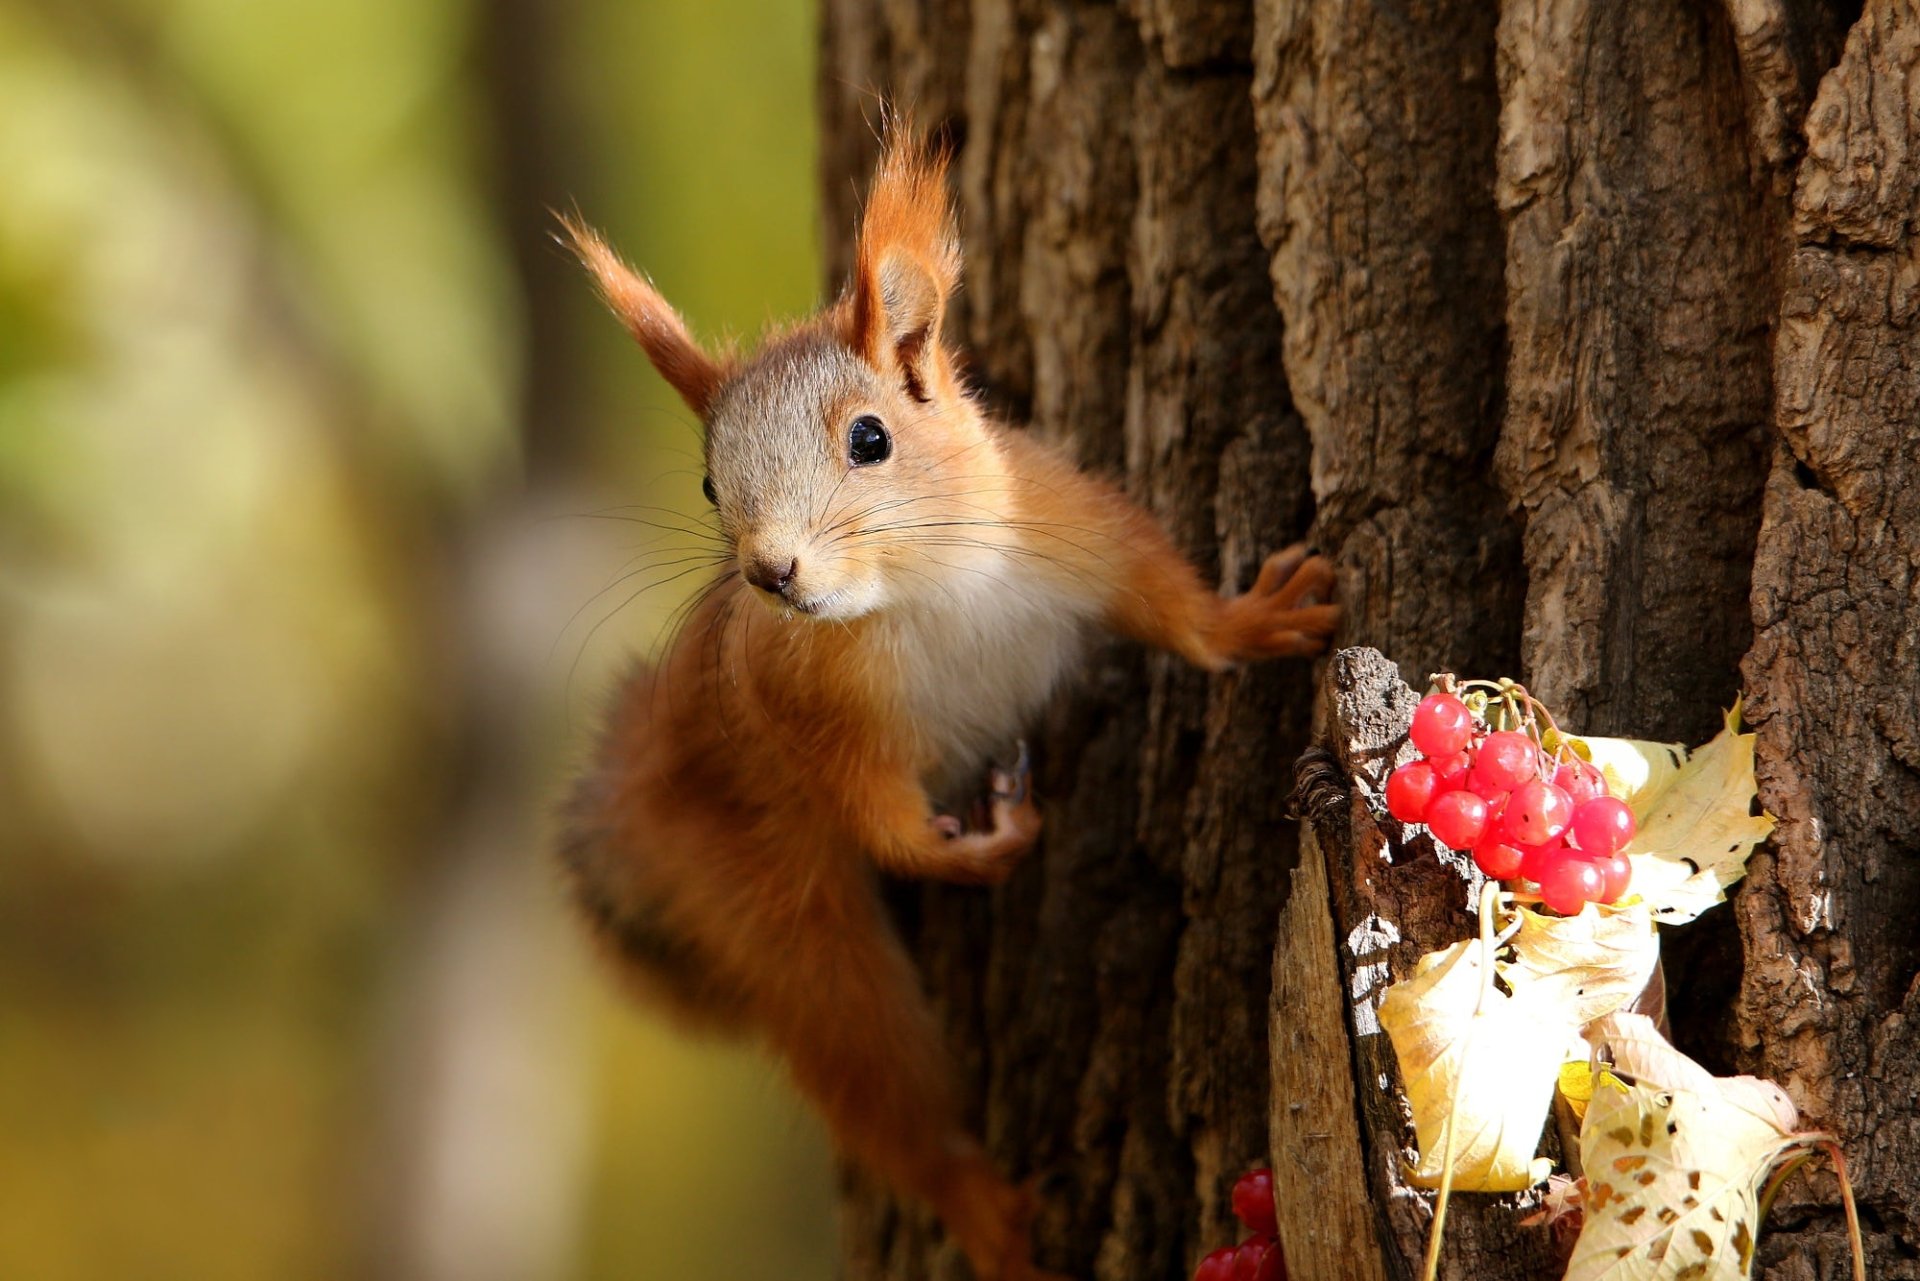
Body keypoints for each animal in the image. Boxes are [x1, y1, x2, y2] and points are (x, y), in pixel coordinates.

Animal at [556, 128, 1337, 1281]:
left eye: (872, 439)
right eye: (707, 485)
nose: (772, 574)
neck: (918, 594)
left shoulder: (1073, 525)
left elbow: (1168, 600)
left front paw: (1254, 619)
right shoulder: (801, 717)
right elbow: (879, 818)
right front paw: (974, 849)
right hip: (768, 898)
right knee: (870, 1065)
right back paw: (983, 1206)